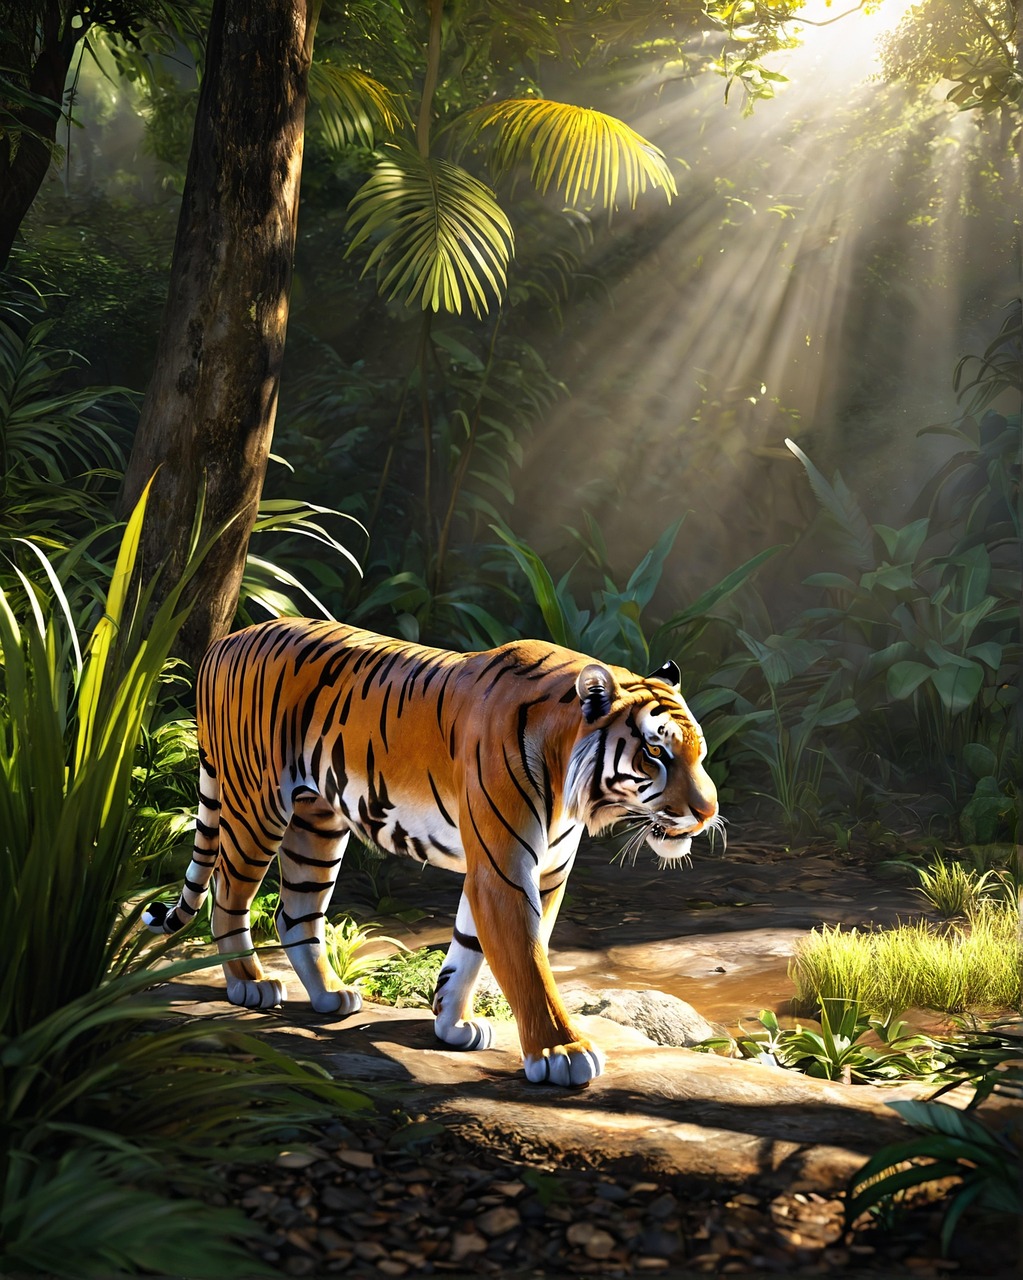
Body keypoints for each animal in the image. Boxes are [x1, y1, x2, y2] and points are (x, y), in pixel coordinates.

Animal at [144, 617, 721, 1087]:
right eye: (655, 752)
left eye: (699, 752)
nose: (708, 811)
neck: (570, 786)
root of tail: (225, 642)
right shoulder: (504, 870)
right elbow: (526, 960)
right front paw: (562, 1051)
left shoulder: (541, 871)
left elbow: (471, 947)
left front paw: (452, 1024)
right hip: (255, 805)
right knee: (228, 897)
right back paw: (251, 986)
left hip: (318, 822)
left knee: (295, 912)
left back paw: (330, 995)